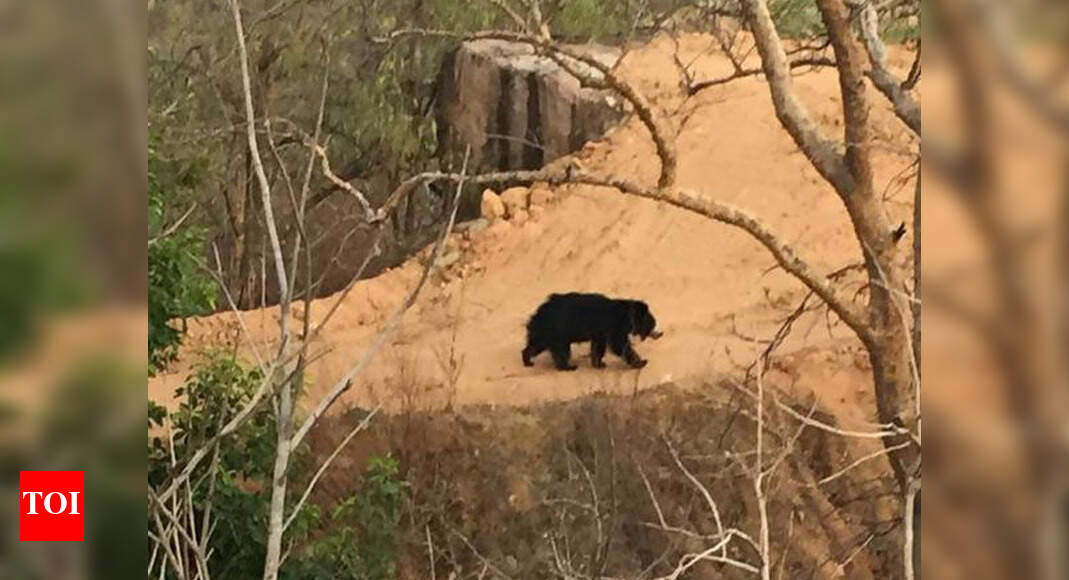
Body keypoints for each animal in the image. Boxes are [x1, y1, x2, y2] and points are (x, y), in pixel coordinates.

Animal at [521, 292, 662, 371]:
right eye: (652, 325)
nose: (660, 334)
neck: (627, 316)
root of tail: (538, 313)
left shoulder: (600, 332)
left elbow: (598, 346)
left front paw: (599, 364)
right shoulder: (613, 325)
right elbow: (620, 345)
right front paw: (641, 362)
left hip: (544, 332)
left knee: (536, 345)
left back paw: (527, 360)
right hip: (558, 331)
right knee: (561, 351)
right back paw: (568, 367)